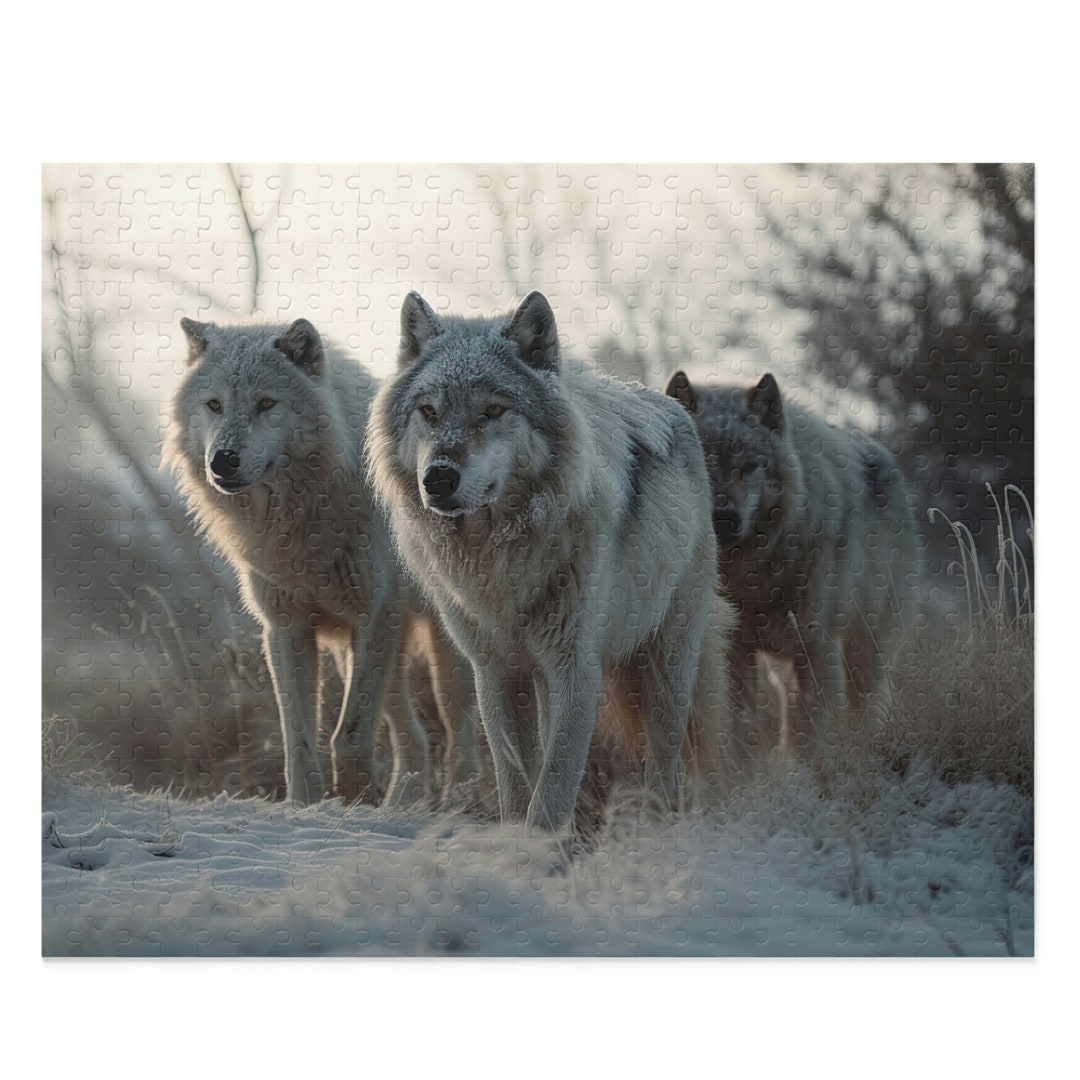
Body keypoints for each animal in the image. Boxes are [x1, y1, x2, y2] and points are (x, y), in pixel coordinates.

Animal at [165, 316, 467, 804]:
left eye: (266, 403)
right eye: (214, 405)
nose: (223, 460)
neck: (302, 519)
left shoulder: (376, 616)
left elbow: (349, 735)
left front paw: (351, 796)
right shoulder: (287, 629)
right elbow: (300, 741)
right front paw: (306, 804)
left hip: (450, 653)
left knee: (466, 733)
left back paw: (464, 800)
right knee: (415, 738)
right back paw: (404, 802)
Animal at [367, 291, 734, 831]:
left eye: (494, 410)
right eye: (429, 411)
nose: (438, 478)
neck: (500, 558)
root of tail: (675, 408)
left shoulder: (575, 669)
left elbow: (554, 783)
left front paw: (540, 848)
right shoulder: (497, 673)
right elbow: (517, 783)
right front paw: (517, 842)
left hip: (666, 670)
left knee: (665, 770)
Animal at [665, 370, 918, 753]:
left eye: (748, 467)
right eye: (704, 463)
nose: (724, 519)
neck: (755, 573)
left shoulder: (817, 649)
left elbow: (807, 741)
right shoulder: (737, 651)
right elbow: (744, 734)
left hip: (864, 649)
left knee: (863, 711)